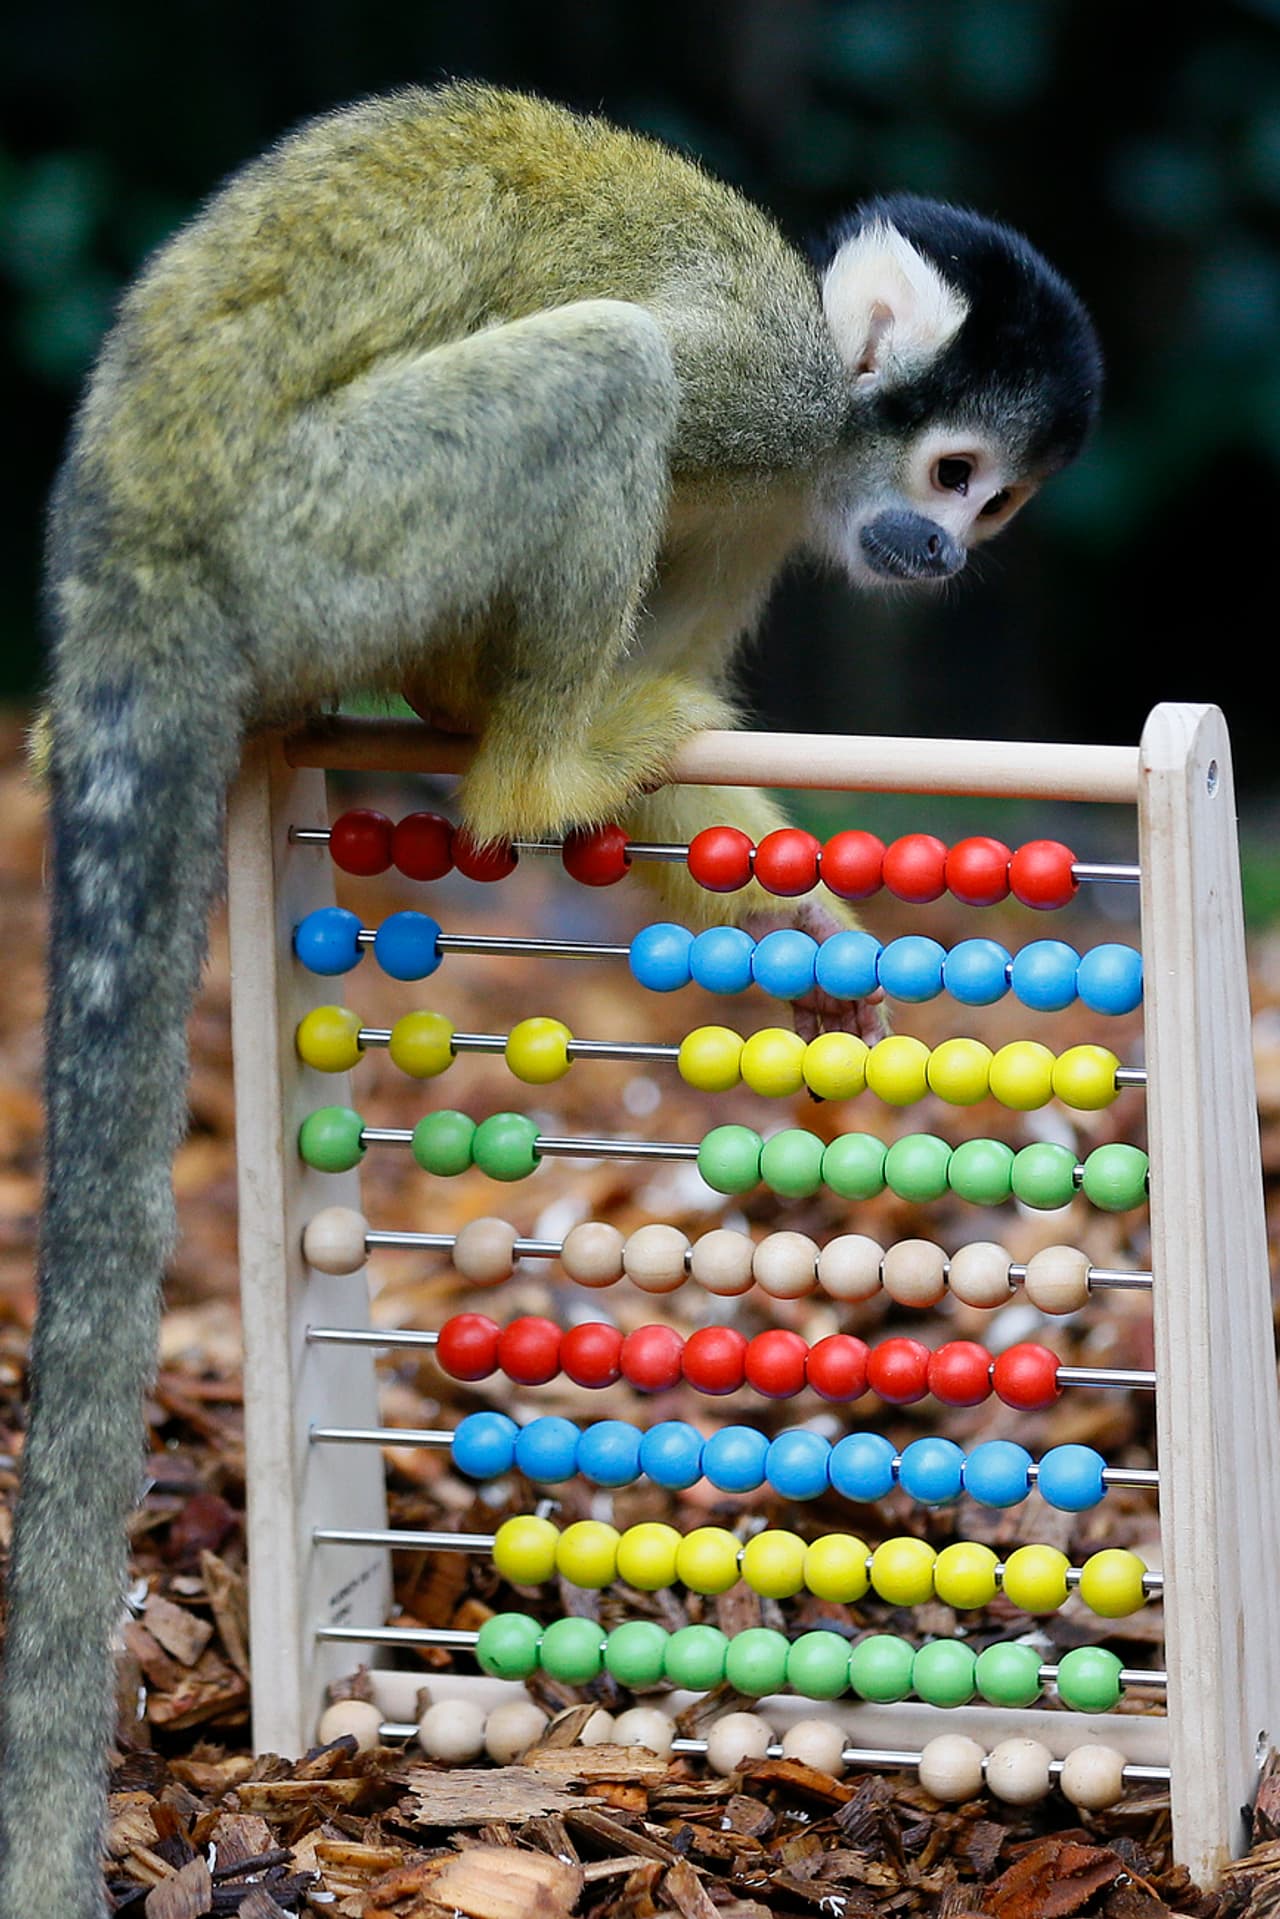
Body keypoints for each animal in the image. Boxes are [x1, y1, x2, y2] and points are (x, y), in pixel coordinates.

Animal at [0, 82, 1100, 1918]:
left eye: (1002, 503)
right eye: (955, 473)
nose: (946, 548)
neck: (830, 428)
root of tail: (124, 566)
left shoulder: (777, 507)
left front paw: (799, 927)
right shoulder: (775, 390)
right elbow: (664, 372)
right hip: (313, 540)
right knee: (609, 371)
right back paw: (535, 770)